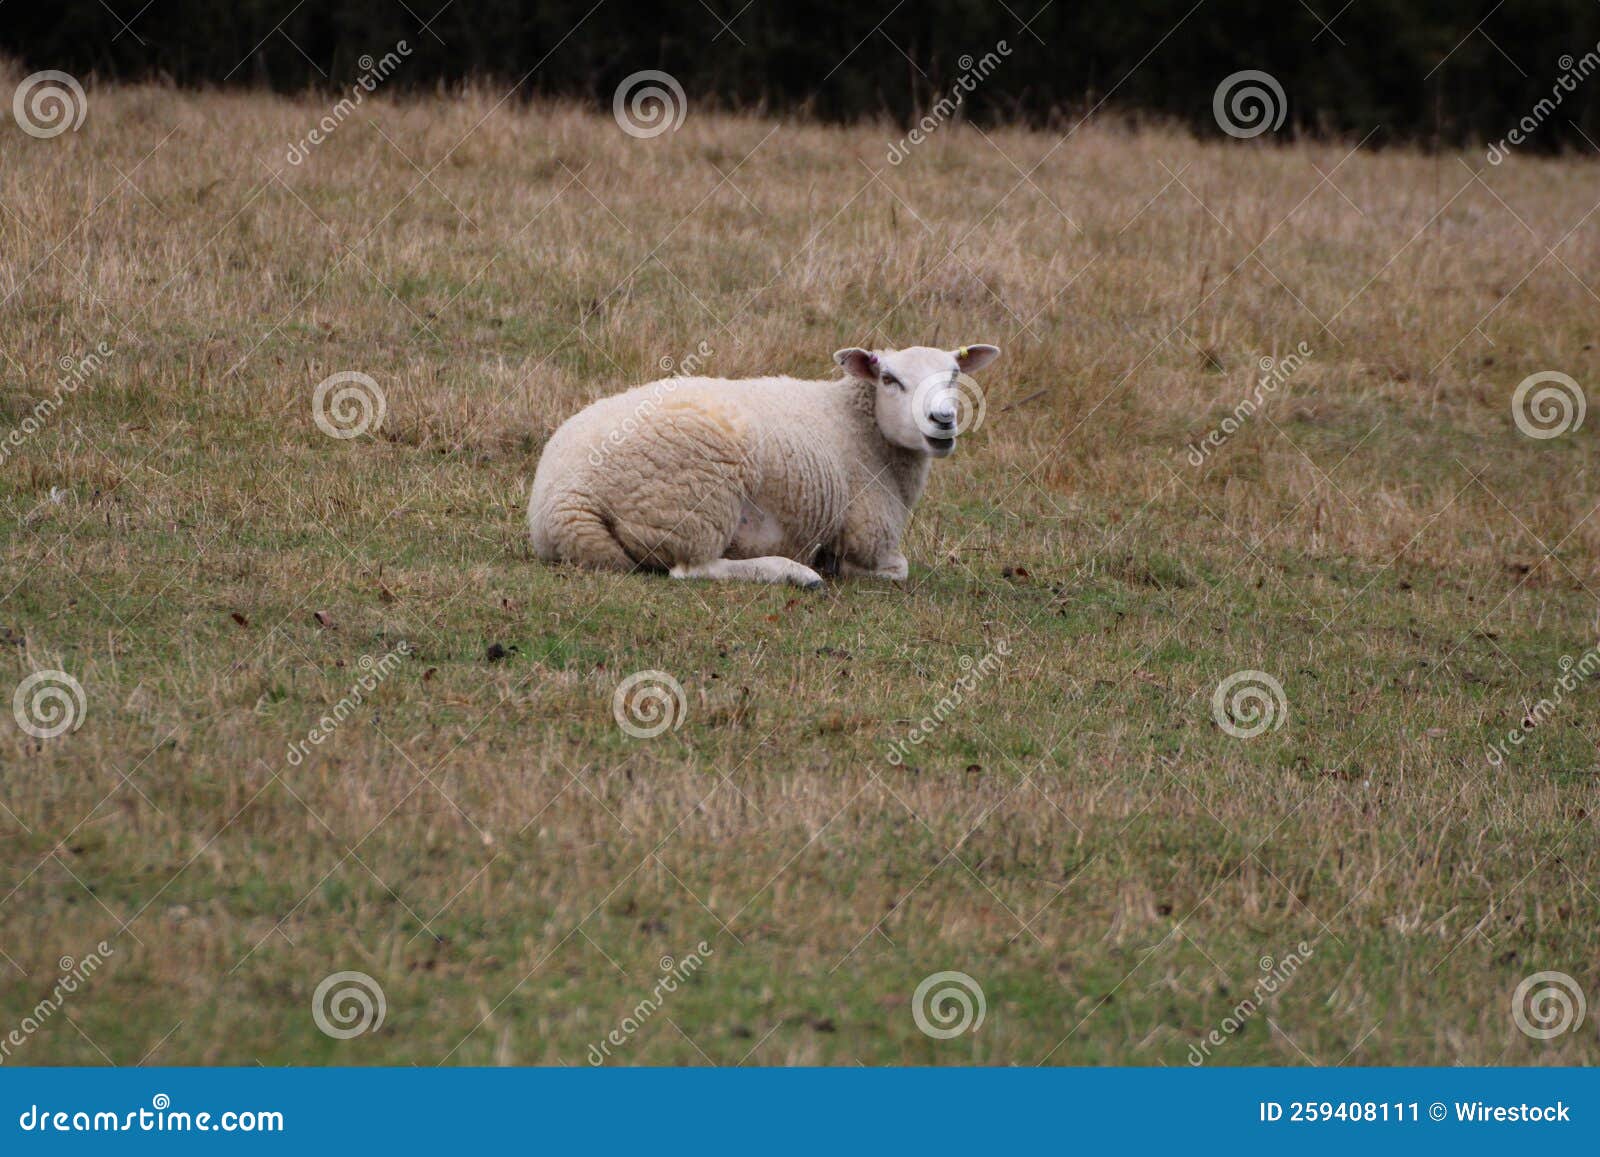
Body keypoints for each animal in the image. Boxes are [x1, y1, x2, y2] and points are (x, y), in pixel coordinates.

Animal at [527, 343, 1001, 588]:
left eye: (955, 375)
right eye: (889, 379)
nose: (943, 420)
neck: (857, 424)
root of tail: (564, 499)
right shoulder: (871, 536)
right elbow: (897, 570)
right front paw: (832, 566)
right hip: (695, 498)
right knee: (692, 569)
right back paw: (795, 572)